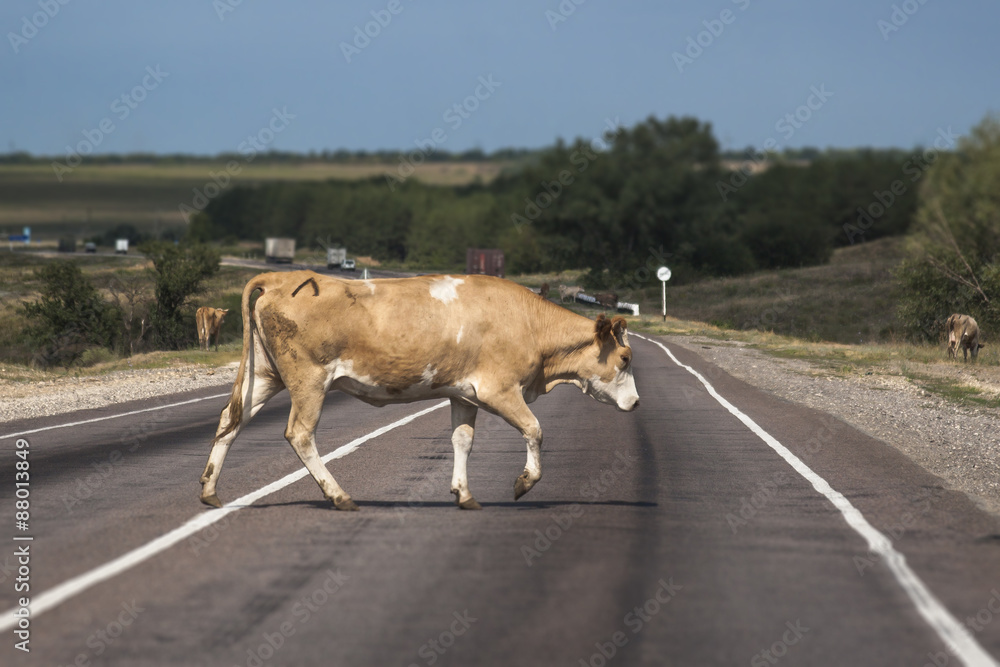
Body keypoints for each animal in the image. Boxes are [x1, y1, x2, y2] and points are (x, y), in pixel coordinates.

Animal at [199, 272, 639, 512]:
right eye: (625, 357)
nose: (635, 402)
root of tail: (282, 279)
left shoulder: (464, 394)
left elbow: (462, 440)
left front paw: (463, 493)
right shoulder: (498, 390)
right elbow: (535, 430)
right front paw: (525, 482)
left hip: (264, 375)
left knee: (229, 420)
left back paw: (210, 491)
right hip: (308, 379)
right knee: (300, 434)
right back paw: (339, 495)